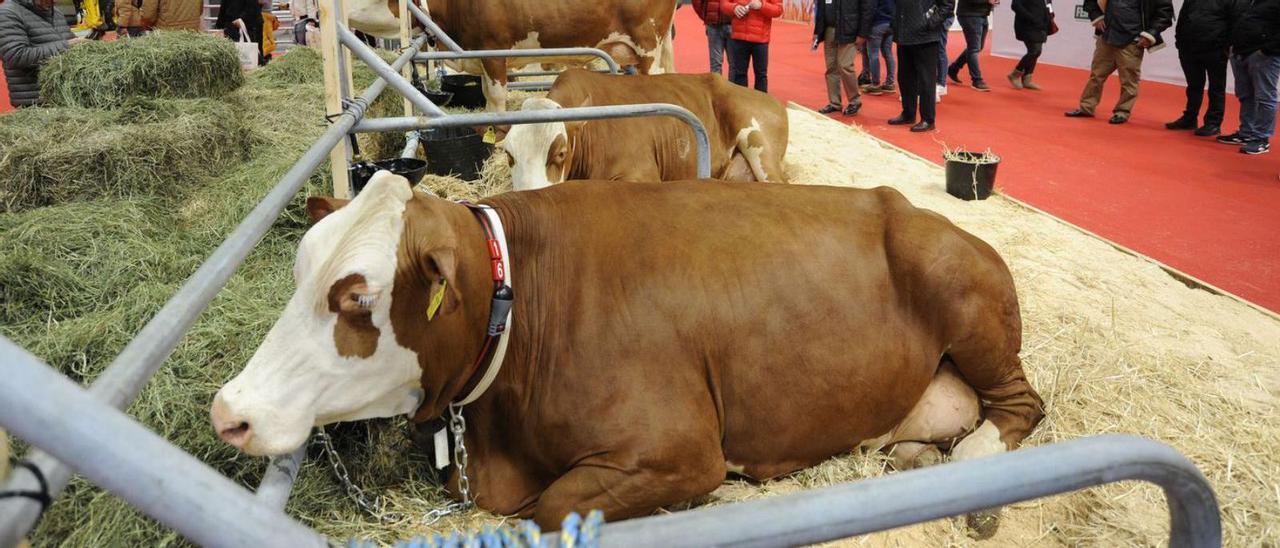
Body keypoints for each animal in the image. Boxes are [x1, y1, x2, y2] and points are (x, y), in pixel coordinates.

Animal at [211, 172, 1044, 533]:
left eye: (355, 299)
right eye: (299, 272)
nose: (229, 412)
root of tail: (910, 207)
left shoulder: (680, 450)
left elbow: (557, 506)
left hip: (966, 303)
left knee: (1022, 404)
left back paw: (976, 480)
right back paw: (917, 457)